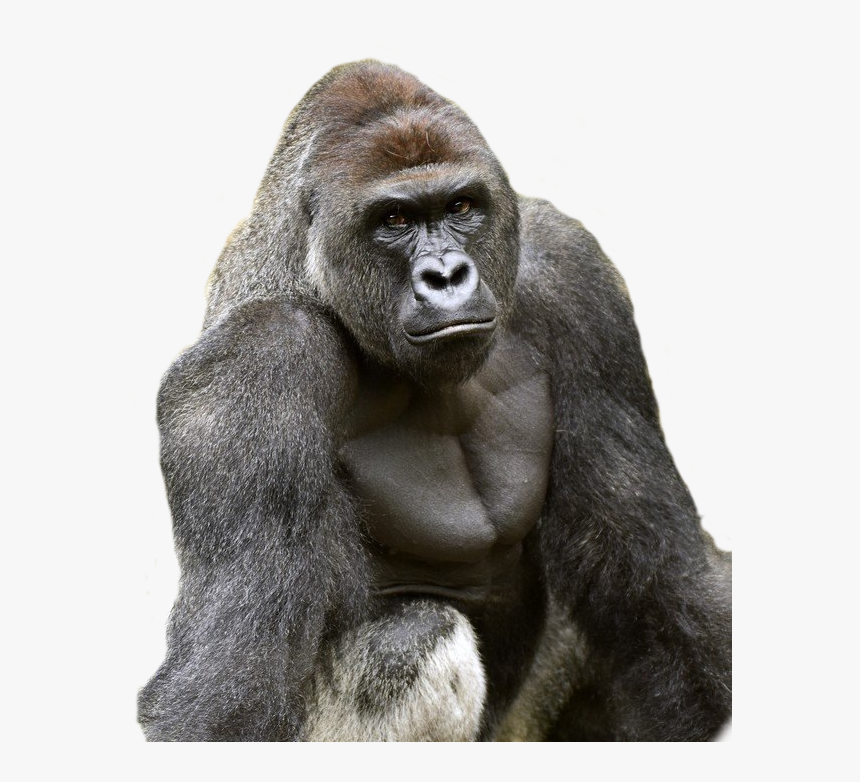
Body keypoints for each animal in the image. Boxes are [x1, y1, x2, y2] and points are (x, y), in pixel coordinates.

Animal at [138, 60, 732, 741]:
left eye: (461, 206)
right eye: (394, 221)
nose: (446, 276)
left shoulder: (572, 273)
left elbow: (667, 583)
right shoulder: (255, 363)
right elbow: (230, 686)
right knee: (417, 637)